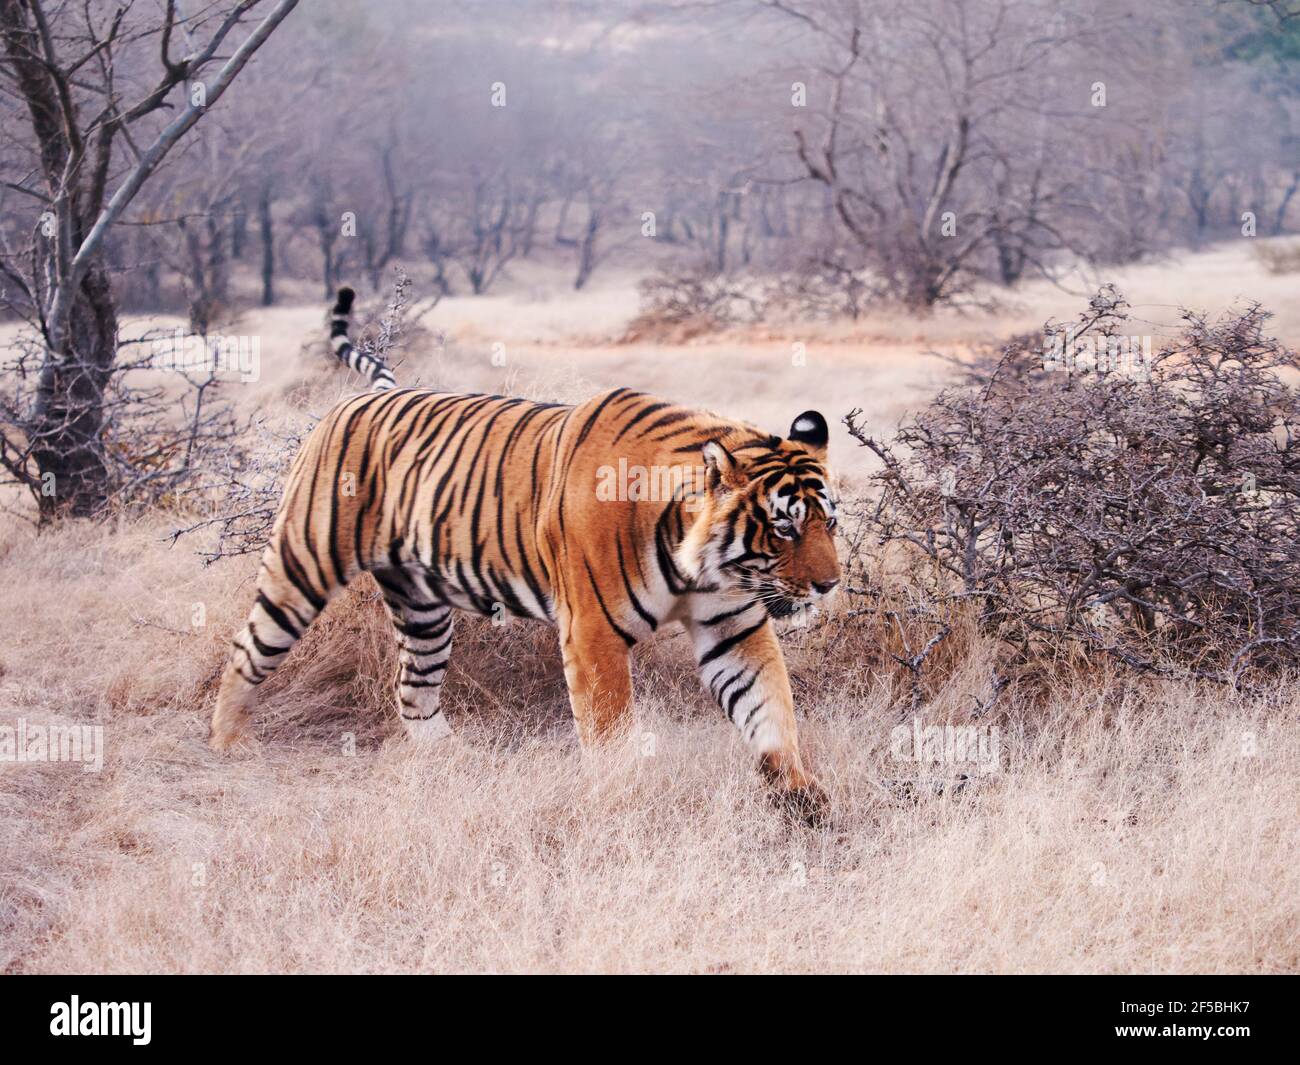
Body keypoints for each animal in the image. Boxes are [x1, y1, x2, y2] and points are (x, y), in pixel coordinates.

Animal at [210, 289, 842, 820]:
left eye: (830, 523)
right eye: (784, 528)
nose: (830, 585)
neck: (698, 564)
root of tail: (374, 394)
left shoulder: (734, 627)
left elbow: (769, 709)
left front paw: (800, 795)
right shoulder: (593, 634)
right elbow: (611, 731)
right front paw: (624, 803)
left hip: (423, 609)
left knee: (412, 689)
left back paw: (456, 762)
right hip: (303, 563)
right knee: (248, 649)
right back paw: (230, 745)